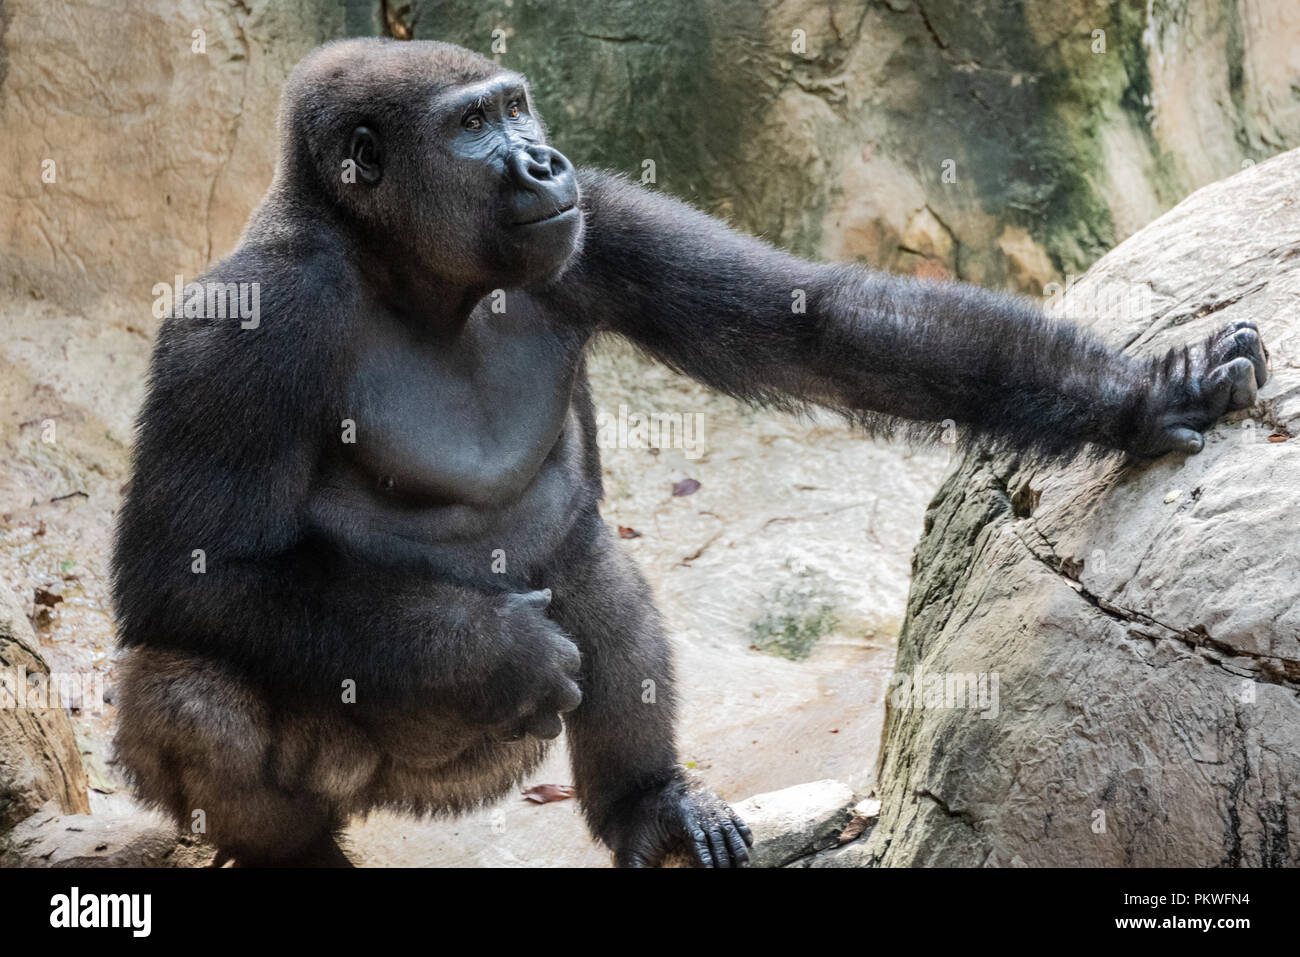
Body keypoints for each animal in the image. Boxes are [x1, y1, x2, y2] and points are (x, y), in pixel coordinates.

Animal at [110, 38, 1268, 868]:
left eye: (515, 108)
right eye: (471, 126)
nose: (542, 160)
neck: (397, 264)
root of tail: (439, 797)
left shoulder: (595, 217)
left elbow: (816, 324)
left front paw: (1147, 394)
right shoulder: (249, 321)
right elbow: (188, 573)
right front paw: (491, 649)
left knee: (593, 572)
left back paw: (647, 803)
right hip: (376, 769)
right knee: (189, 687)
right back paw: (299, 852)